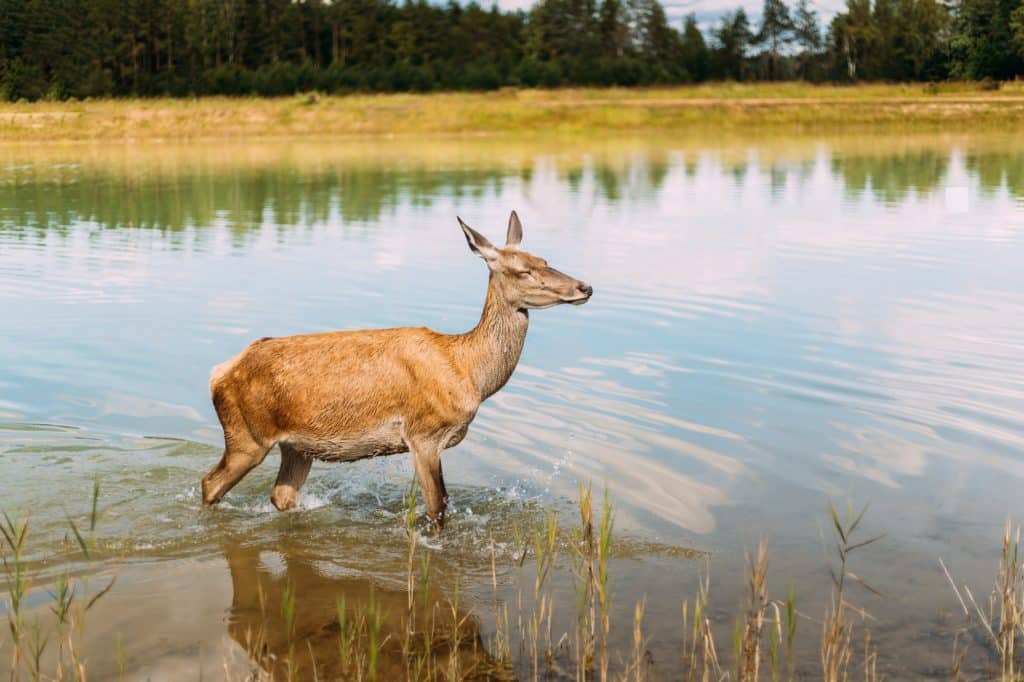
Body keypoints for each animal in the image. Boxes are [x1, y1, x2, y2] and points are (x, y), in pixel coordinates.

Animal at [201, 211, 592, 528]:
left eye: (544, 259)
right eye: (522, 270)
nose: (584, 287)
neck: (469, 372)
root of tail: (218, 374)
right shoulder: (424, 434)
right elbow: (438, 508)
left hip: (295, 446)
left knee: (281, 495)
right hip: (247, 436)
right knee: (210, 483)